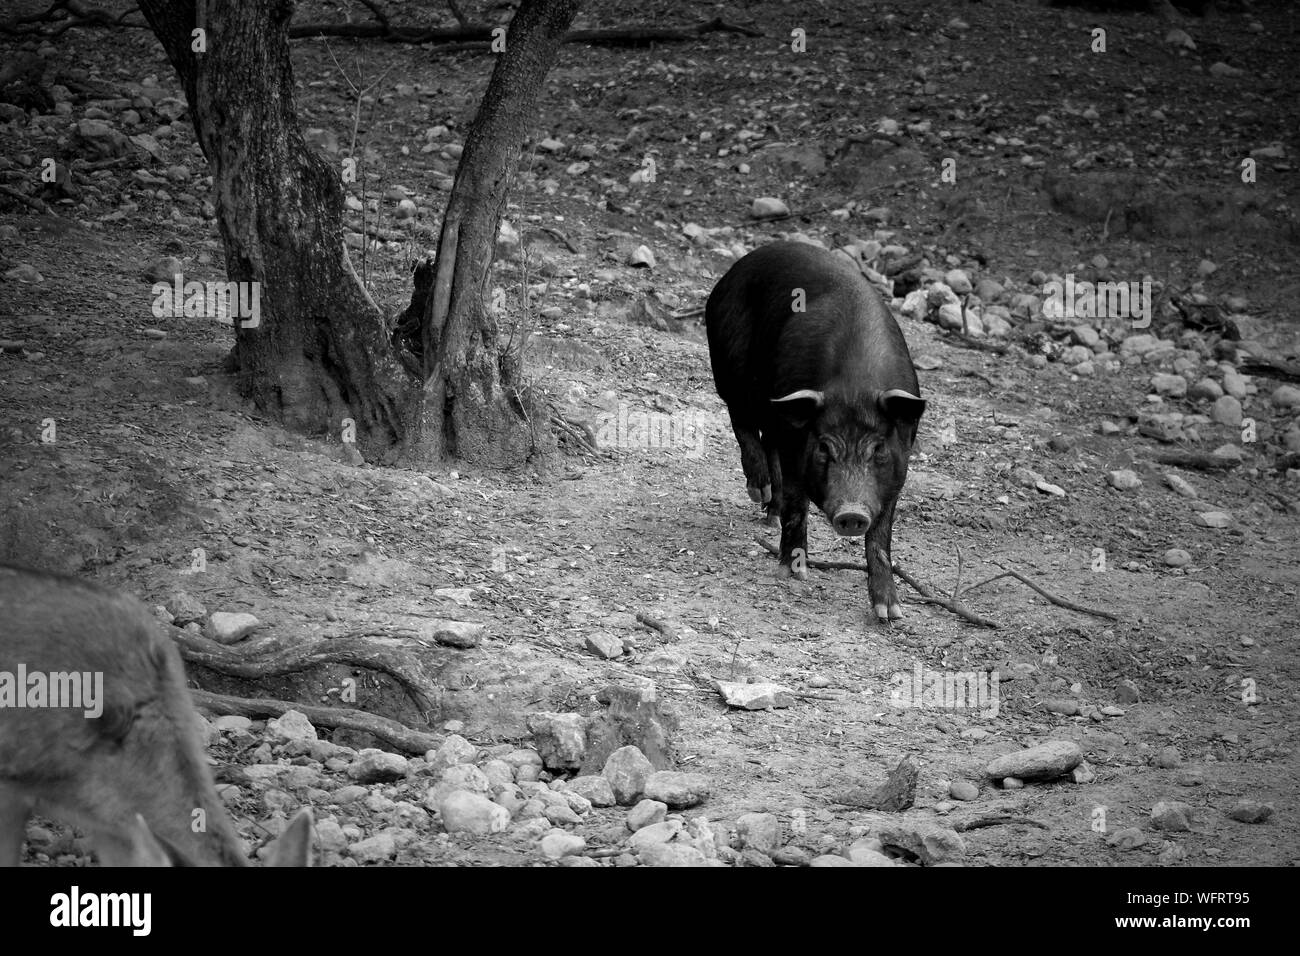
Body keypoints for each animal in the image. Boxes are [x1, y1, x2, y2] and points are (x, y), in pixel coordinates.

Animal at [705, 241, 926, 622]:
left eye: (878, 449)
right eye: (824, 447)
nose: (852, 513)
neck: (855, 384)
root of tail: (732, 272)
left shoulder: (898, 471)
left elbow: (882, 535)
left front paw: (890, 613)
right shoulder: (796, 446)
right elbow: (798, 504)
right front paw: (793, 573)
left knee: (766, 440)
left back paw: (769, 515)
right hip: (730, 369)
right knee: (742, 422)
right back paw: (759, 493)